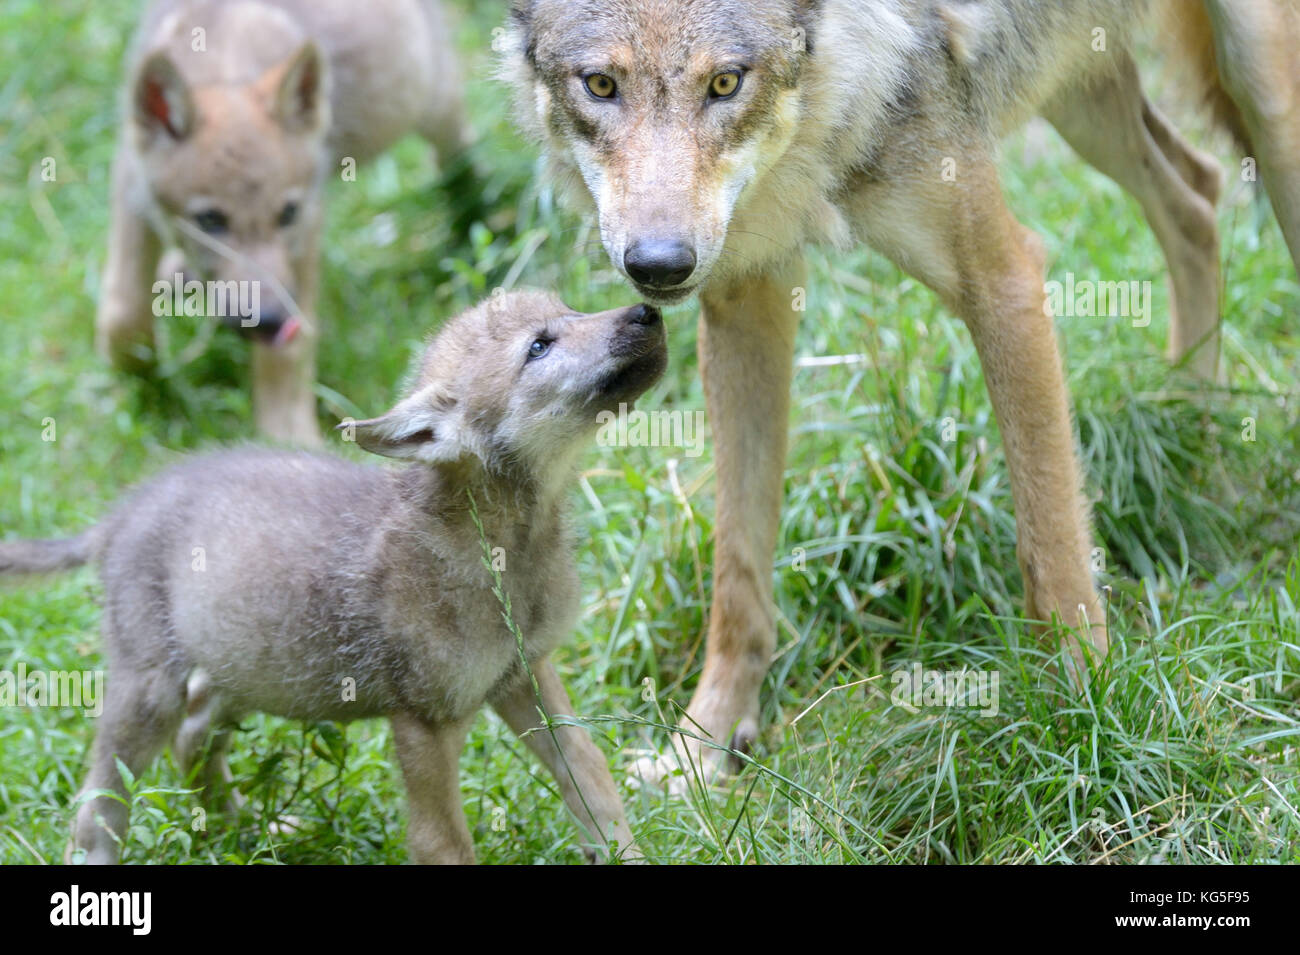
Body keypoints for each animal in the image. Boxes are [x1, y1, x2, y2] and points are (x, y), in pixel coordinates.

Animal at [2, 290, 666, 864]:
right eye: (539, 347)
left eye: (570, 308)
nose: (647, 310)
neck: (512, 550)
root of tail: (116, 518)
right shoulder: (424, 721)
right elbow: (443, 842)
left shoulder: (525, 675)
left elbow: (592, 779)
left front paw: (627, 853)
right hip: (149, 688)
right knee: (97, 804)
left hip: (246, 667)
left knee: (192, 733)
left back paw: (245, 830)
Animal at [97, 0, 473, 444]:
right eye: (210, 219)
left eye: (286, 214)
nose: (269, 320)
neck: (226, 59)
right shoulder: (131, 191)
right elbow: (122, 314)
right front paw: (143, 380)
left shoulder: (308, 224)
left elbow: (289, 353)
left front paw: (288, 438)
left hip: (427, 100)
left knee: (461, 145)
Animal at [504, 0, 1300, 781]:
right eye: (601, 85)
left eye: (726, 83)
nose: (659, 265)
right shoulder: (744, 297)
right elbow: (737, 569)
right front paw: (705, 747)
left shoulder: (1006, 281)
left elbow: (1053, 554)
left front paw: (1087, 723)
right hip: (1081, 91)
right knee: (1197, 193)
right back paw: (1194, 422)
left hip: (1258, 96)